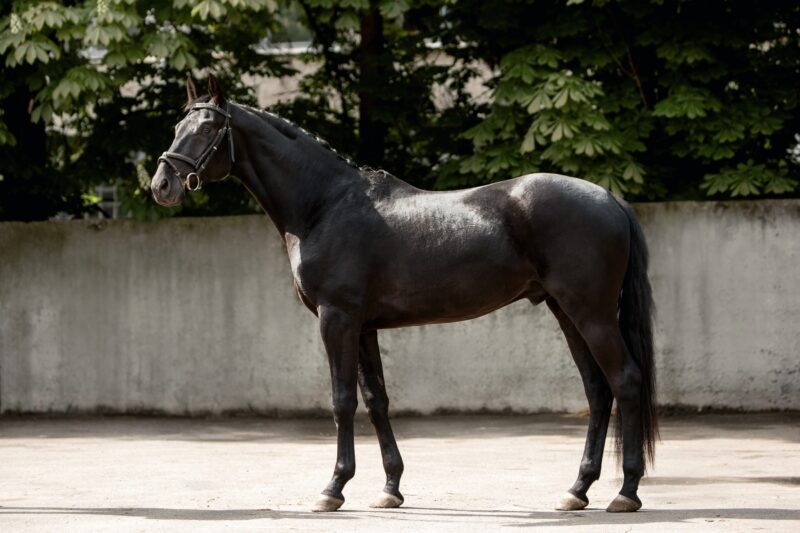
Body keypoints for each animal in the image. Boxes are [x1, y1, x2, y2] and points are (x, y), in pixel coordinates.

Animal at [150, 75, 657, 514]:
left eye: (209, 129)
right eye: (177, 127)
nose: (162, 185)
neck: (324, 205)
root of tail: (609, 199)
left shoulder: (336, 319)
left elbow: (342, 400)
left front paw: (332, 489)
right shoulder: (364, 327)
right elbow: (376, 401)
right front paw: (390, 487)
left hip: (590, 313)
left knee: (625, 381)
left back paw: (626, 492)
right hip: (565, 311)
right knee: (598, 391)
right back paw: (577, 490)